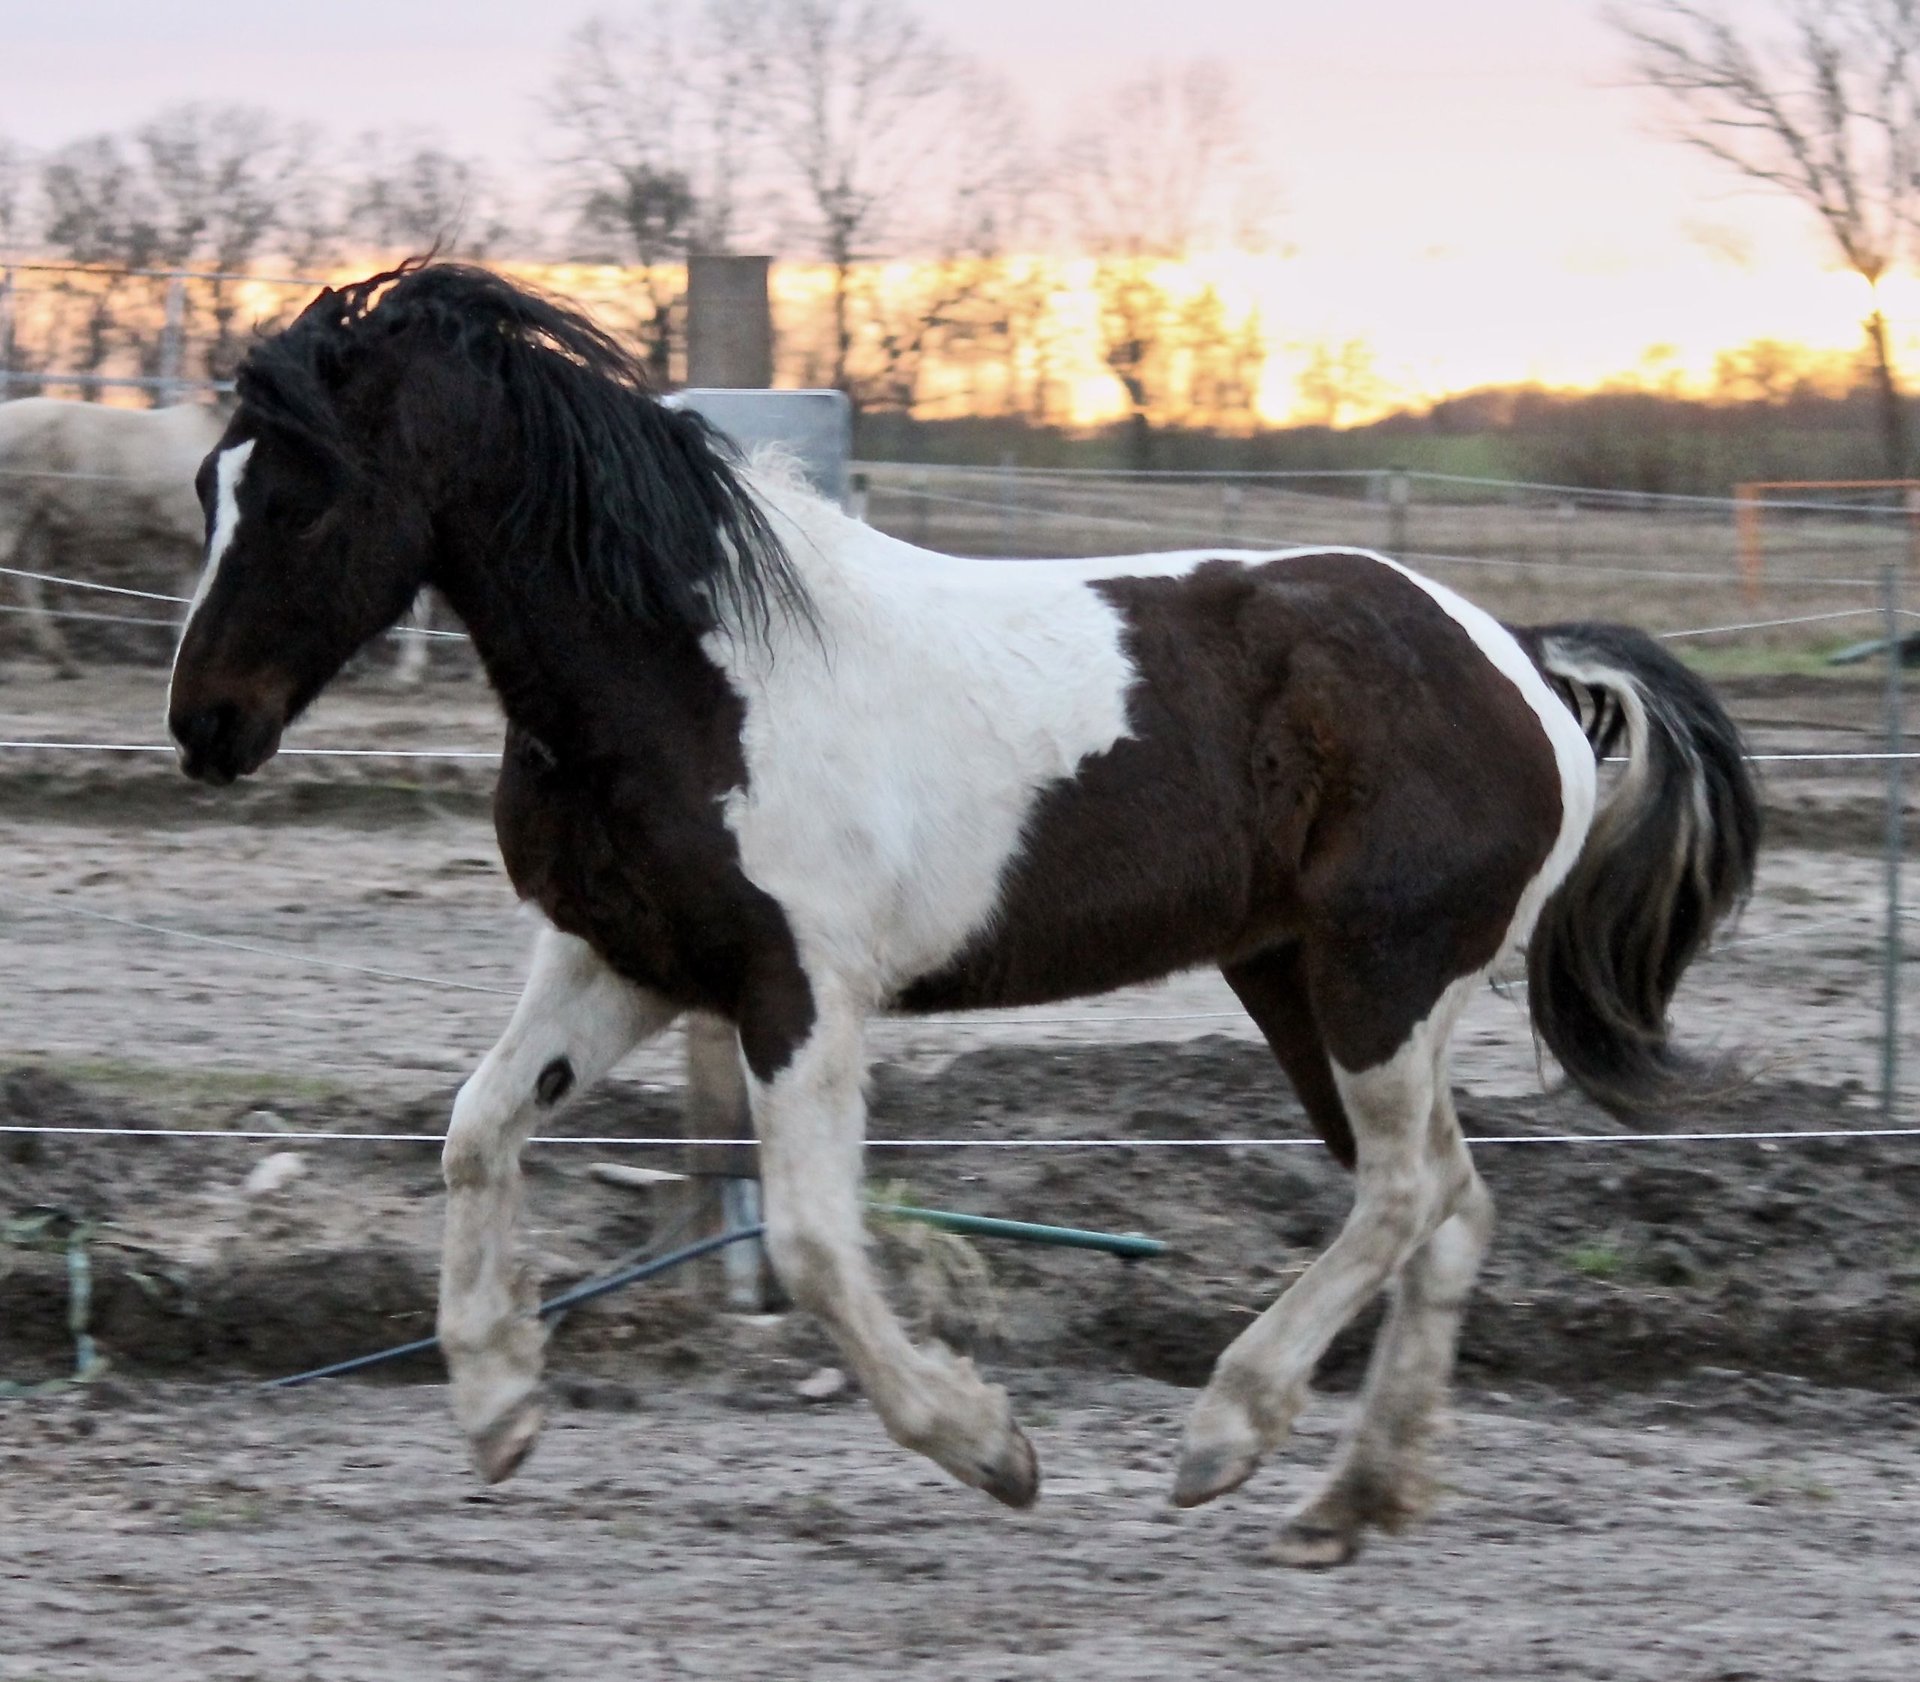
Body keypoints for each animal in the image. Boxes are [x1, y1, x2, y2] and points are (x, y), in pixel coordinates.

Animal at [166, 264, 1759, 1567]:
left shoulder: (800, 990)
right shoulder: (621, 964)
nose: (204, 727)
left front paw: (993, 1448)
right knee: (1449, 1202)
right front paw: (499, 1408)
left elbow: (814, 1242)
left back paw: (1225, 1437)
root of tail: (1525, 662)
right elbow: (477, 1127)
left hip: (1381, 978)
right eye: (207, 488)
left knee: (1408, 1193)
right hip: (1301, 984)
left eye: (302, 491)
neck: (690, 674)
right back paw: (1348, 1503)